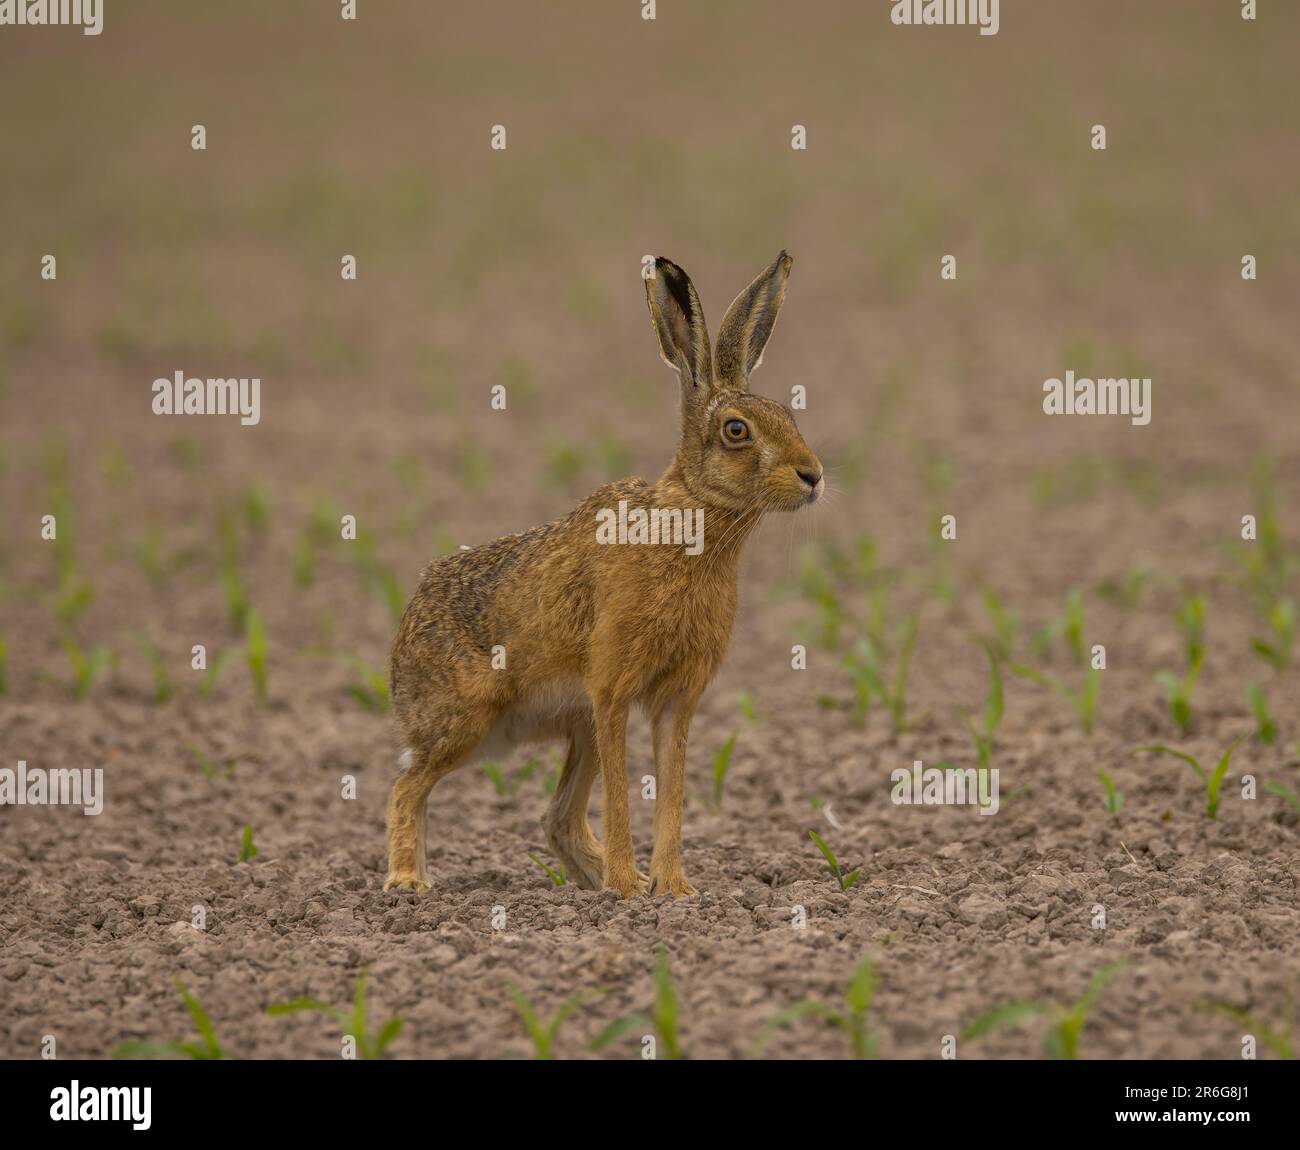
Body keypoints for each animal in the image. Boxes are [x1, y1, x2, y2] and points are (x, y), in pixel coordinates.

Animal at [385, 251, 823, 898]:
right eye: (737, 430)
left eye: (790, 414)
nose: (812, 475)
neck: (689, 519)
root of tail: (402, 639)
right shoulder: (611, 689)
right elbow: (621, 795)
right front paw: (630, 890)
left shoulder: (674, 699)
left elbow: (672, 792)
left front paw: (673, 889)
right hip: (467, 719)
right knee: (407, 785)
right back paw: (409, 882)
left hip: (572, 723)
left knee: (558, 818)